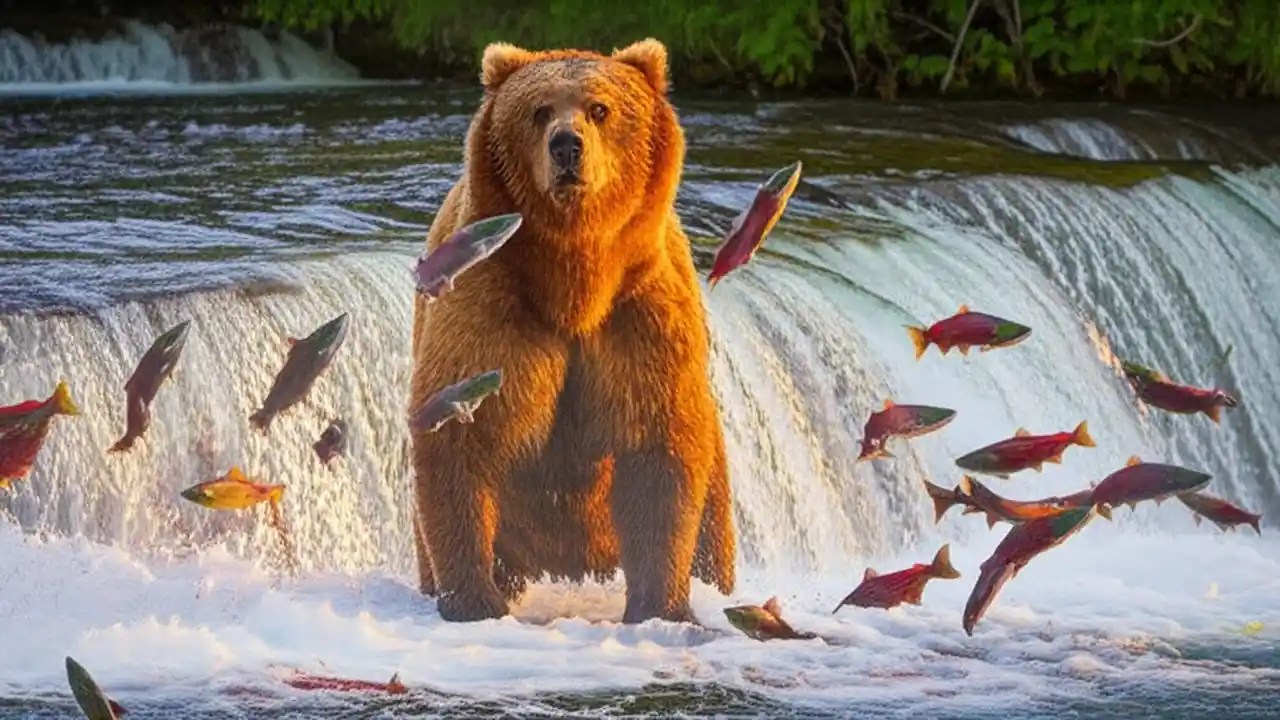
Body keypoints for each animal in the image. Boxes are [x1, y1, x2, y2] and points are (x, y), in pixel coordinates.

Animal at [409, 37, 736, 624]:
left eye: (600, 108)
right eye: (539, 111)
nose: (566, 145)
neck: (575, 281)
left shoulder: (640, 315)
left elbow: (658, 445)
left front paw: (661, 605)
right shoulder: (491, 301)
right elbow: (461, 434)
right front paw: (474, 600)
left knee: (711, 523)